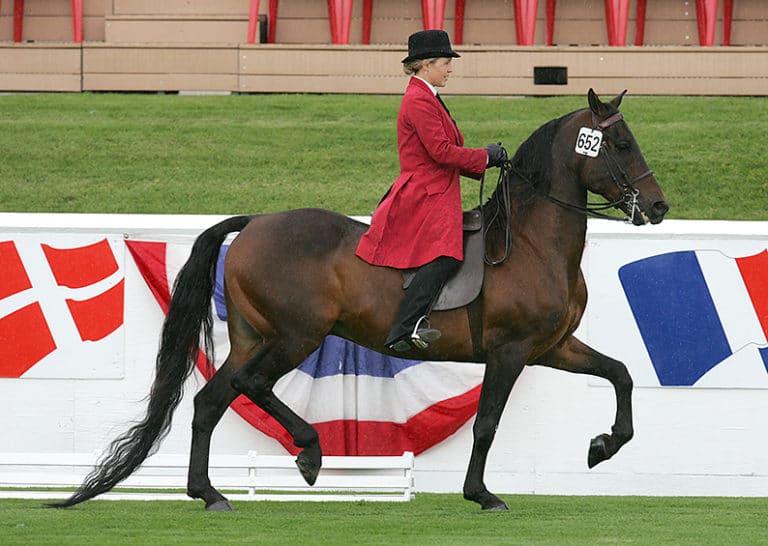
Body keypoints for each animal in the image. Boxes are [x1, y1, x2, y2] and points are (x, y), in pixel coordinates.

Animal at [49, 89, 668, 512]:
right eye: (620, 143)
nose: (659, 207)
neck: (533, 243)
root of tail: (255, 223)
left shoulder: (552, 347)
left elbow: (620, 374)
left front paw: (603, 446)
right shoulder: (510, 352)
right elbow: (487, 424)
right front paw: (481, 494)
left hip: (254, 336)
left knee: (212, 400)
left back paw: (210, 493)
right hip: (298, 335)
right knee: (252, 385)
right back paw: (308, 453)